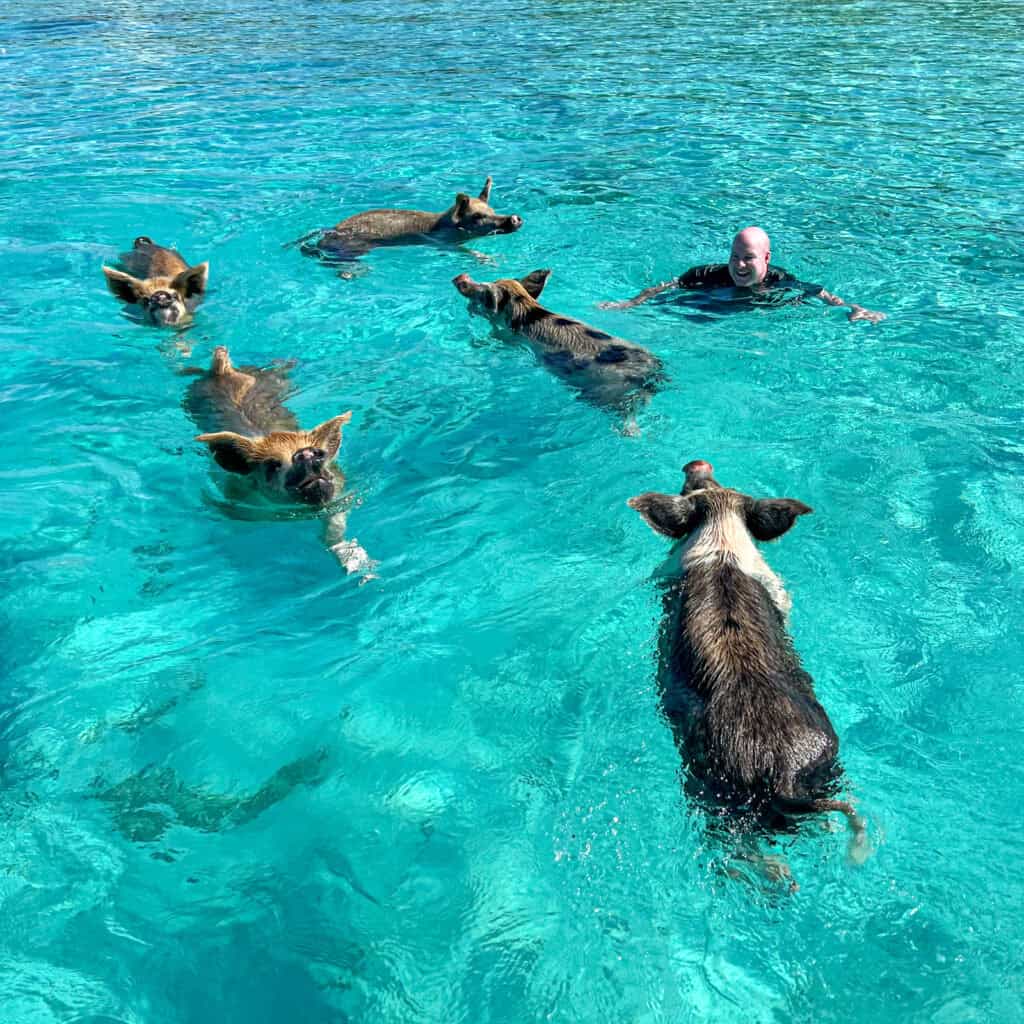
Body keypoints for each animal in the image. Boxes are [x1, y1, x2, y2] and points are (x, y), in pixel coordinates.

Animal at [185, 346, 373, 576]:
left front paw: (365, 570)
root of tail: (223, 371)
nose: (306, 453)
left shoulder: (339, 491)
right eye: (272, 464)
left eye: (320, 452)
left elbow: (334, 527)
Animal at [295, 176, 523, 265]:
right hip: (353, 248)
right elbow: (466, 252)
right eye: (477, 217)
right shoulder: (444, 244)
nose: (515, 218)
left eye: (492, 210)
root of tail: (329, 230)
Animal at [452, 268, 664, 425]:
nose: (460, 277)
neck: (524, 309)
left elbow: (495, 339)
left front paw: (474, 343)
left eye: (483, 292)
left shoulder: (509, 337)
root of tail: (652, 373)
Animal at [628, 459, 867, 874]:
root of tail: (782, 773)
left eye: (693, 488)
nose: (698, 464)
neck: (722, 537)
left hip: (711, 788)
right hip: (829, 768)